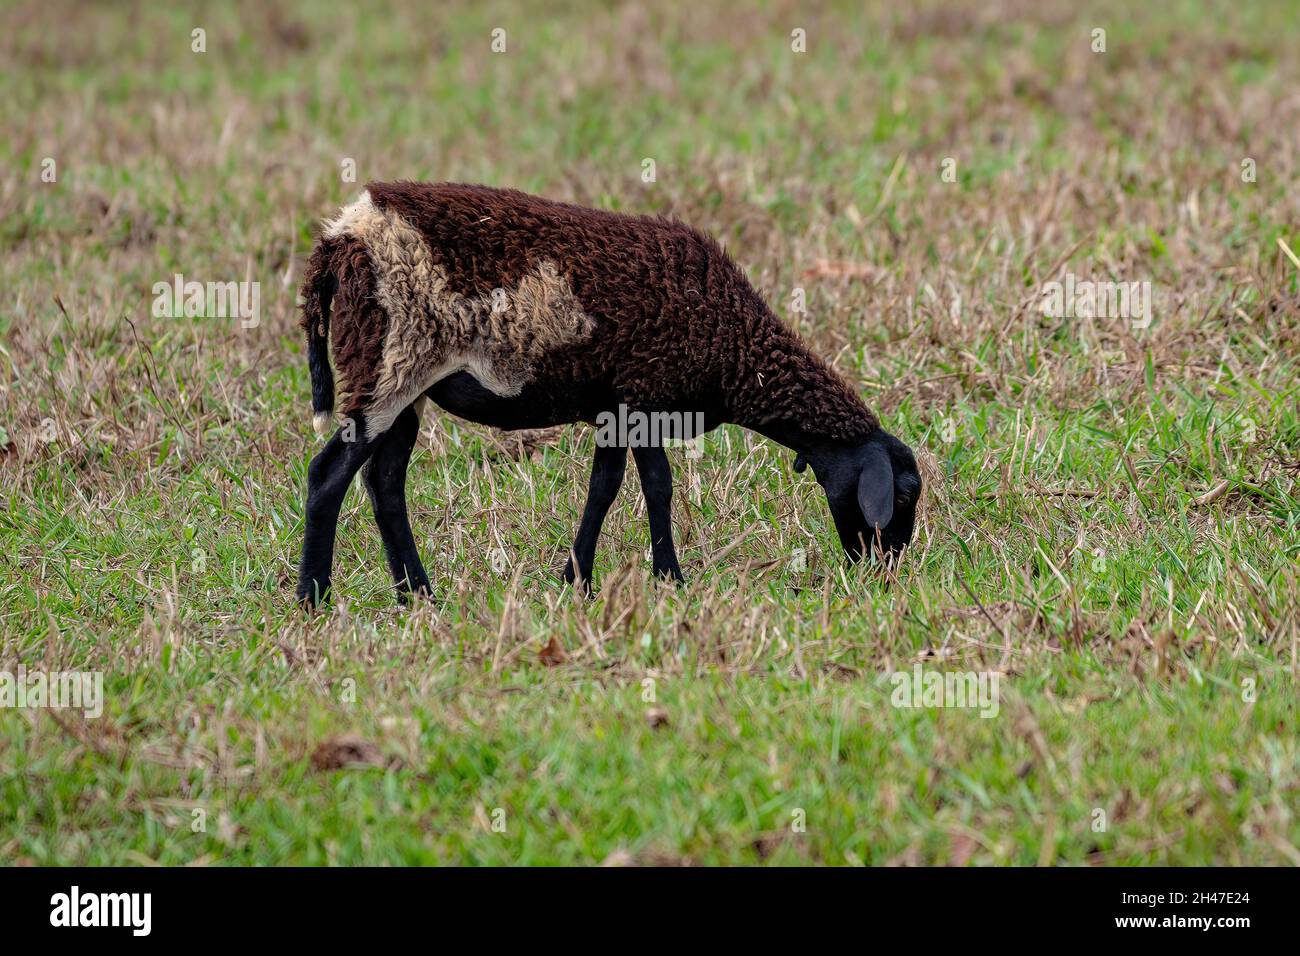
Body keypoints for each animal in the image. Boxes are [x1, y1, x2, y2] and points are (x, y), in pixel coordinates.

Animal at [296, 181, 921, 607]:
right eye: (905, 494)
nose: (885, 573)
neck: (737, 350)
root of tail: (340, 239)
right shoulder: (645, 394)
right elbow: (657, 487)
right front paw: (670, 579)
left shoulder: (615, 408)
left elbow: (604, 487)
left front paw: (577, 580)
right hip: (387, 366)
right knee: (328, 475)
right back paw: (314, 599)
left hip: (401, 384)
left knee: (384, 483)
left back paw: (418, 595)